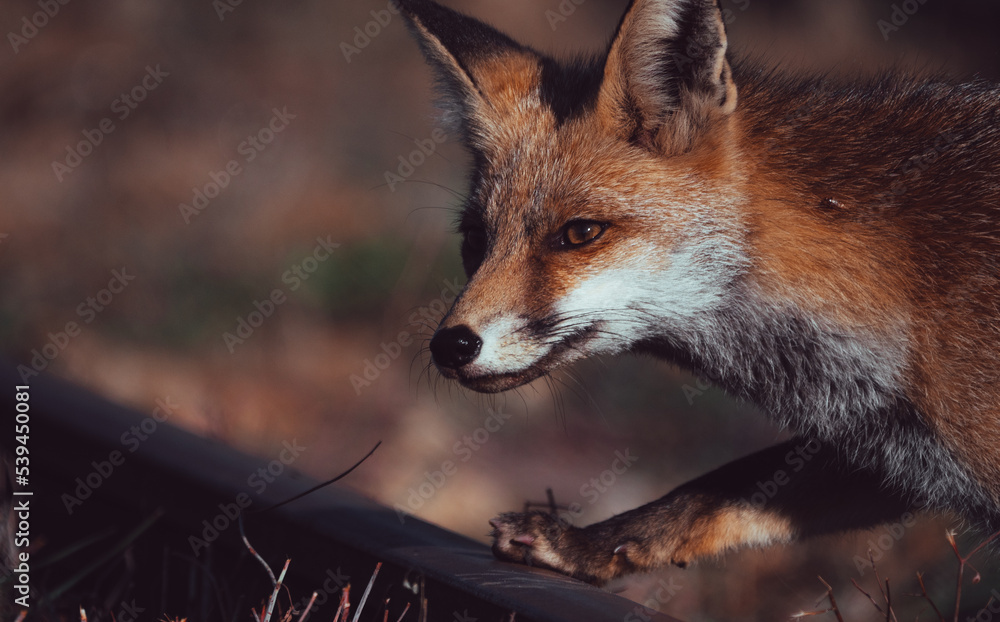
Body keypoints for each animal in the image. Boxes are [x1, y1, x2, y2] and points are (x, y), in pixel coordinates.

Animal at [396, 0, 1000, 586]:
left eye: (580, 233)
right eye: (475, 240)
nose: (450, 346)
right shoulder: (901, 460)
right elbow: (716, 493)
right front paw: (588, 547)